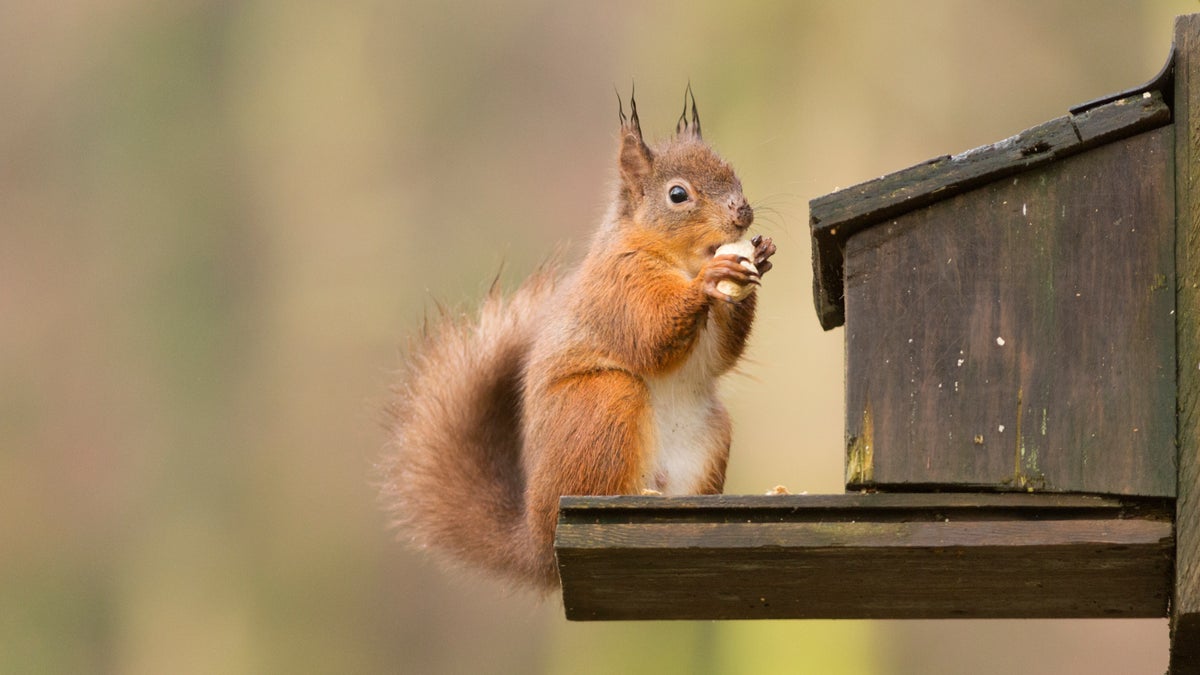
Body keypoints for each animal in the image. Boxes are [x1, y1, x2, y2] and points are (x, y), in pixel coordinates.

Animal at [380, 88, 776, 591]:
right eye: (678, 194)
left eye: (732, 172)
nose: (742, 213)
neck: (680, 259)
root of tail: (538, 542)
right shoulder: (618, 285)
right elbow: (651, 333)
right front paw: (713, 277)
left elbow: (719, 354)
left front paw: (759, 257)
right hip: (604, 403)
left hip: (712, 432)